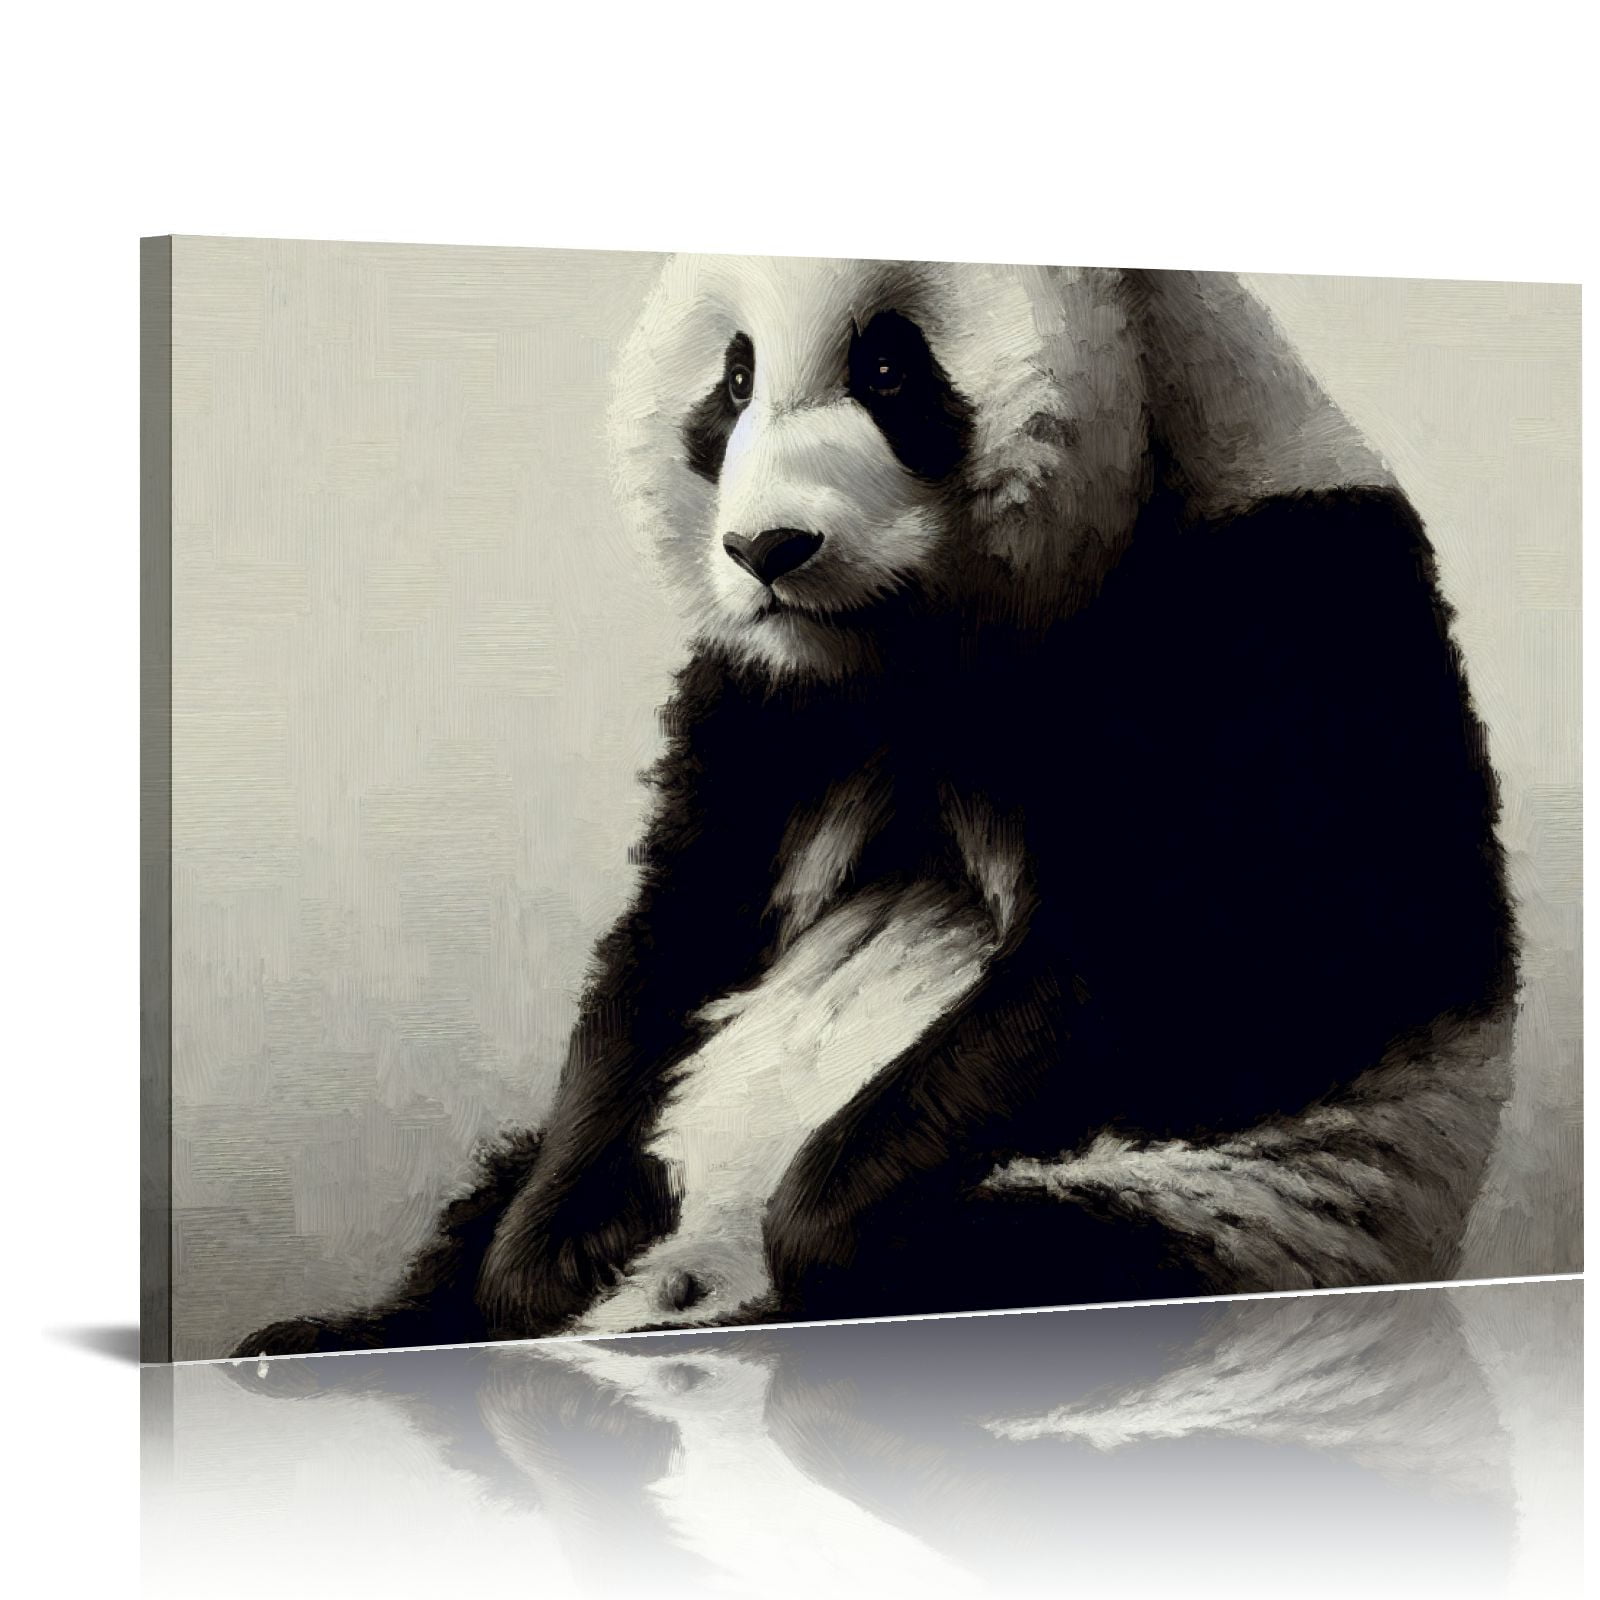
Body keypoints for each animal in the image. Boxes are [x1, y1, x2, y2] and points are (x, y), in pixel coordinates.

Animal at [237, 257, 1517, 1357]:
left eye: (891, 366)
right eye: (734, 377)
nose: (768, 548)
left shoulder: (1290, 606)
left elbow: (1263, 949)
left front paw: (822, 1214)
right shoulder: (770, 695)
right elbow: (679, 924)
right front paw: (550, 1249)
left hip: (1241, 1215)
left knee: (1018, 1260)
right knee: (501, 1173)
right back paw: (347, 1333)